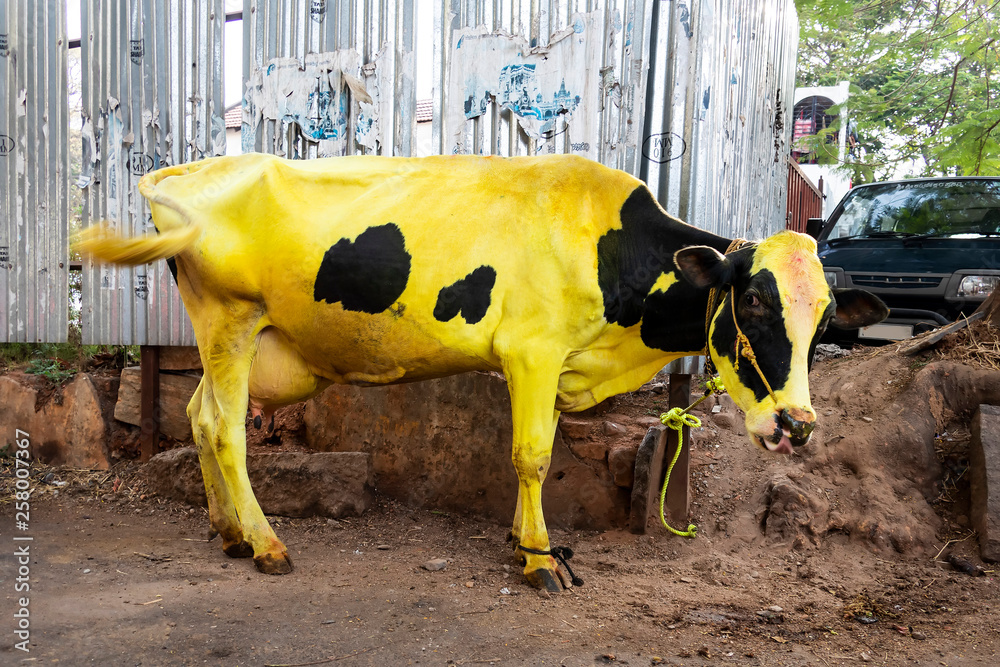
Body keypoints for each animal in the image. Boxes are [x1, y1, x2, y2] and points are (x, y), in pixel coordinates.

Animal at [76, 153, 888, 591]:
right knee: (224, 429)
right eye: (752, 300)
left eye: (824, 324)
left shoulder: (555, 366)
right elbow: (531, 456)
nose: (795, 426)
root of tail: (186, 170)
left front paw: (526, 539)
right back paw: (265, 542)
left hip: (227, 334)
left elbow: (543, 452)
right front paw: (539, 563)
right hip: (230, 321)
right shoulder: (533, 350)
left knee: (196, 417)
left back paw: (227, 532)